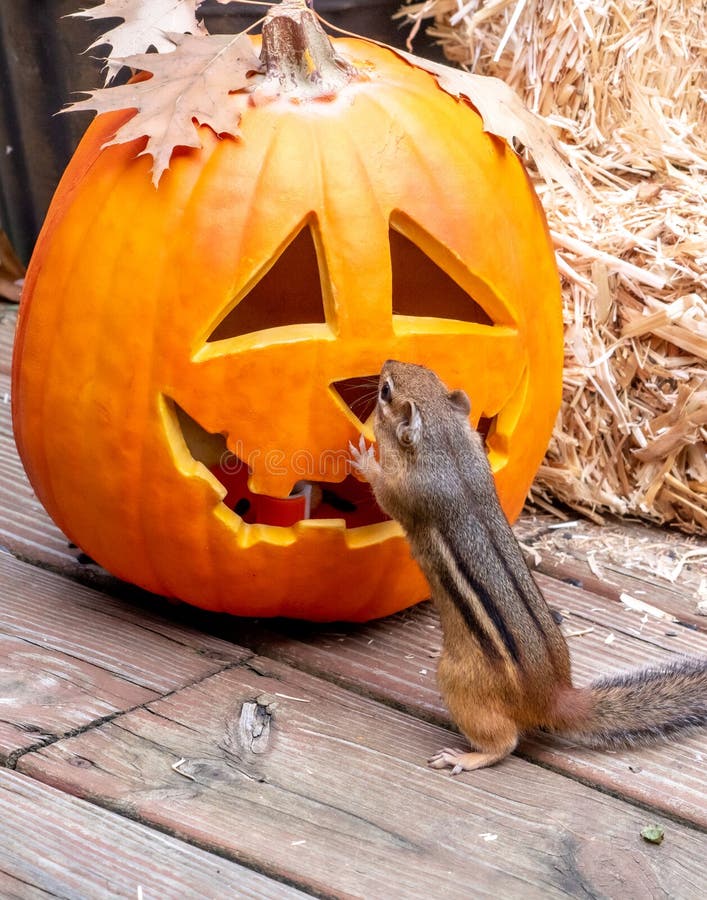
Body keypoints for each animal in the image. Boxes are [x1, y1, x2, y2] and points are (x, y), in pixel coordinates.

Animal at [350, 359, 707, 773]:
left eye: (386, 391)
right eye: (428, 372)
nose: (386, 362)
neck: (447, 446)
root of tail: (553, 697)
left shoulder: (405, 493)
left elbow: (382, 492)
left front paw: (363, 460)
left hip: (456, 681)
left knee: (504, 742)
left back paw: (468, 756)